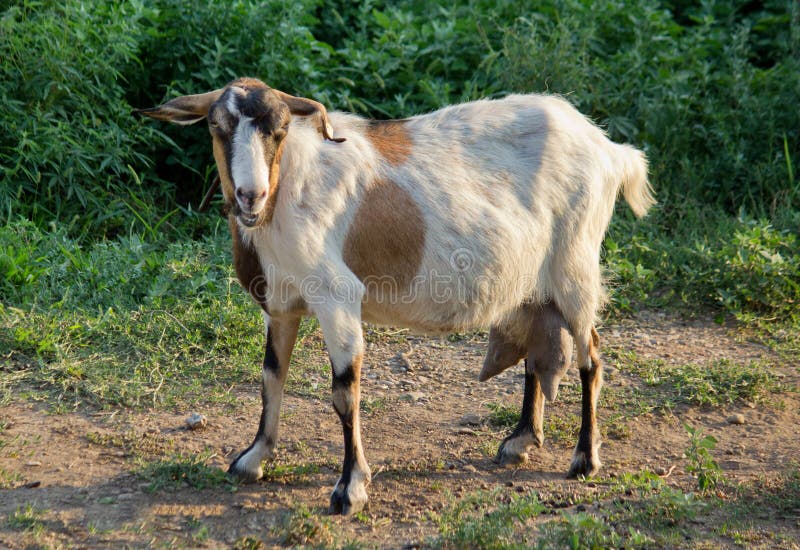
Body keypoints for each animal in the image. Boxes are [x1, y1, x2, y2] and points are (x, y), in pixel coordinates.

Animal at [136, 77, 654, 515]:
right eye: (217, 126)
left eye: (280, 130)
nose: (250, 195)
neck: (284, 195)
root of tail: (610, 150)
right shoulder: (282, 304)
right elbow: (271, 378)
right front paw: (252, 459)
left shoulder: (337, 297)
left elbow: (344, 394)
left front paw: (350, 490)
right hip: (533, 282)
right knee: (536, 352)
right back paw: (520, 441)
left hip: (576, 264)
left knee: (591, 359)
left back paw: (584, 460)